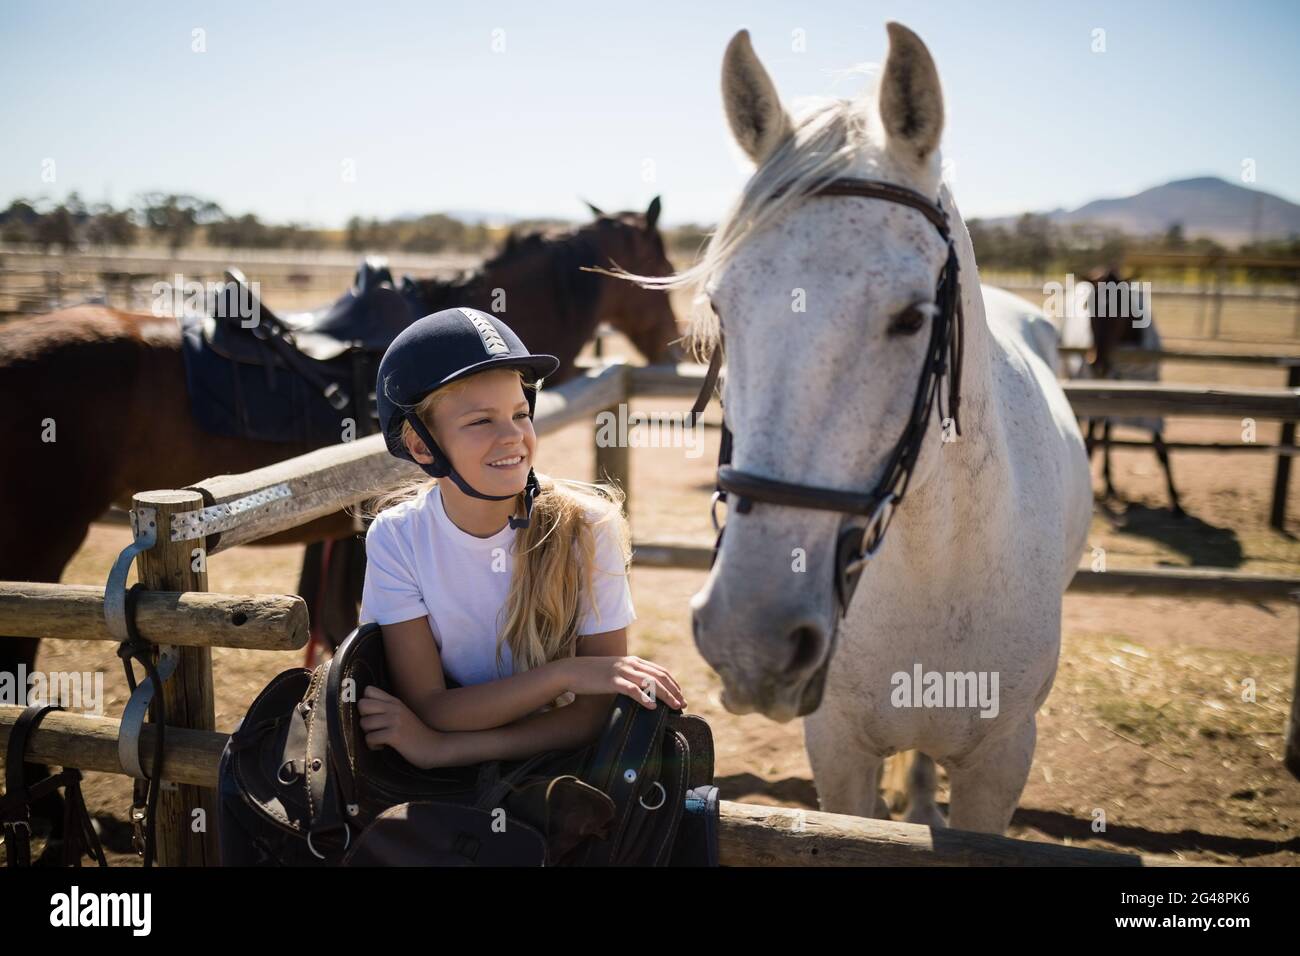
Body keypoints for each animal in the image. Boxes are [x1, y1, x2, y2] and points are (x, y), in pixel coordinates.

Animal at [0, 198, 681, 852]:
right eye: (658, 267)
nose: (675, 346)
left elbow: (330, 616)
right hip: (43, 536)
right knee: (19, 655)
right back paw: (47, 807)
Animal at [641, 24, 1091, 835]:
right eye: (721, 308)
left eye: (913, 317)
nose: (748, 636)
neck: (935, 567)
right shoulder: (838, 750)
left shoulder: (1001, 762)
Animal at [1083, 268, 1184, 516]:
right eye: (1089, 308)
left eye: (1119, 311)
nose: (1097, 364)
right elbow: (1091, 437)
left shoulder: (1151, 396)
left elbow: (1161, 447)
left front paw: (1177, 502)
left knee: (1106, 430)